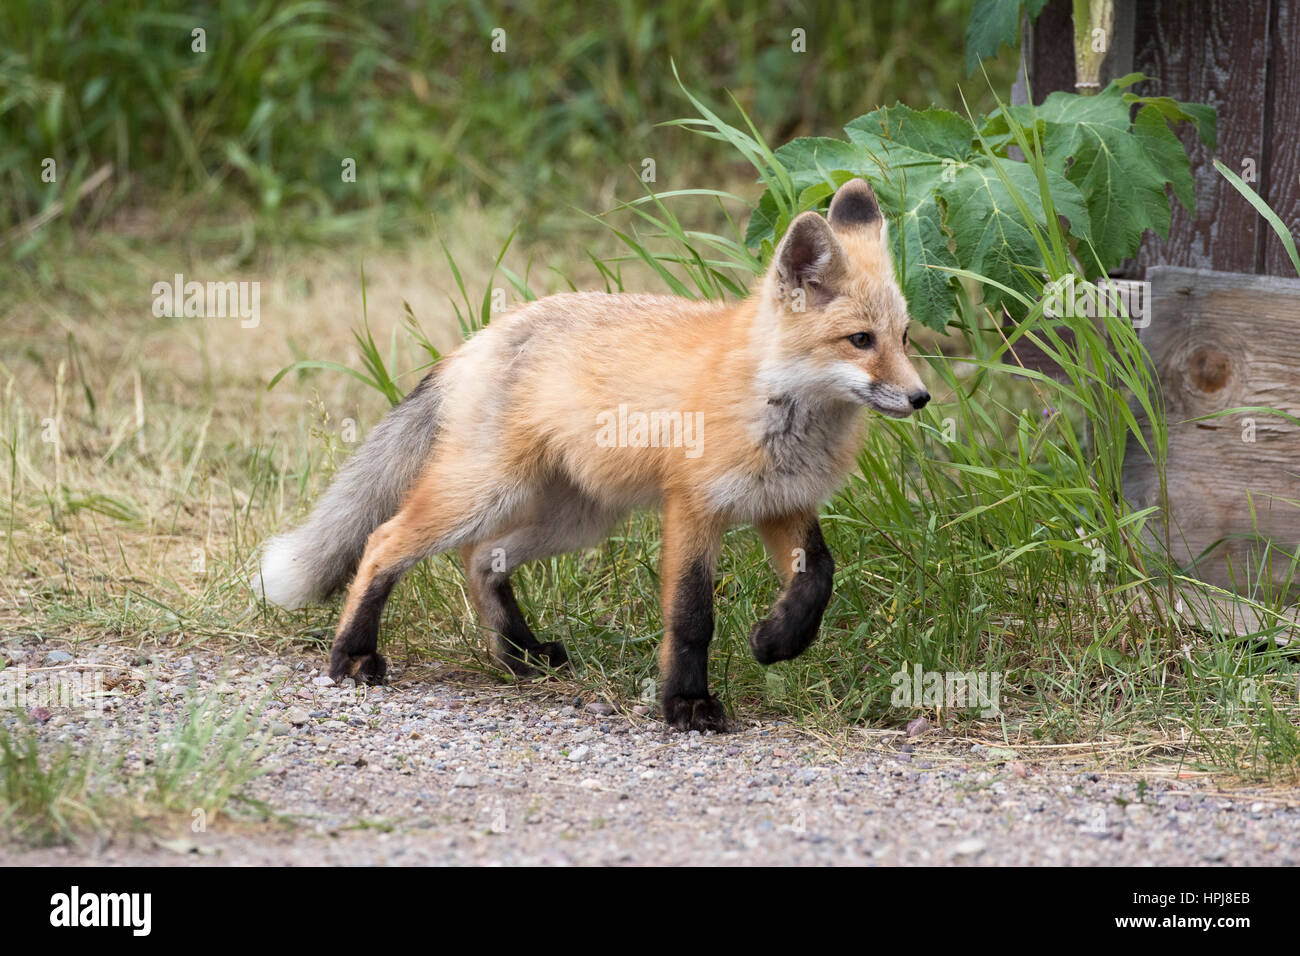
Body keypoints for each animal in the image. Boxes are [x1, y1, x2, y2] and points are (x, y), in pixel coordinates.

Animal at [256, 178, 929, 732]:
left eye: (903, 338)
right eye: (859, 340)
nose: (921, 397)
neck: (776, 407)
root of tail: (477, 339)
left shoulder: (782, 503)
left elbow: (819, 578)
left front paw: (776, 641)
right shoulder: (694, 507)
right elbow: (691, 619)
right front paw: (686, 704)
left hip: (575, 518)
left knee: (480, 559)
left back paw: (521, 658)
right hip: (485, 492)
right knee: (384, 542)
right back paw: (353, 654)